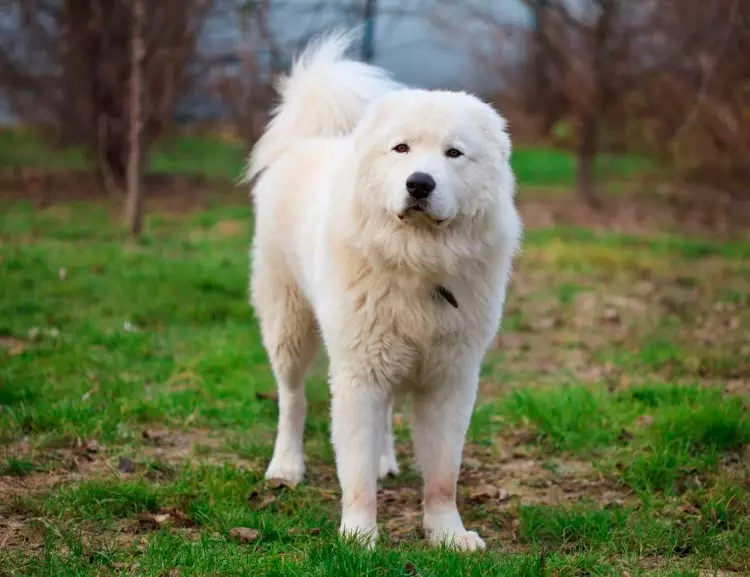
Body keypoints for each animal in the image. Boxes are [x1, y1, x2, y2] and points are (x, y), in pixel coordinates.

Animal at [248, 30, 524, 548]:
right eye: (402, 149)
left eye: (453, 153)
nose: (419, 184)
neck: (417, 261)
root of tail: (311, 139)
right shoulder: (358, 374)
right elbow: (354, 476)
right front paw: (359, 538)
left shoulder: (449, 379)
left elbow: (443, 475)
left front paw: (448, 534)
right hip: (289, 325)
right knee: (292, 399)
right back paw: (286, 467)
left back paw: (385, 461)